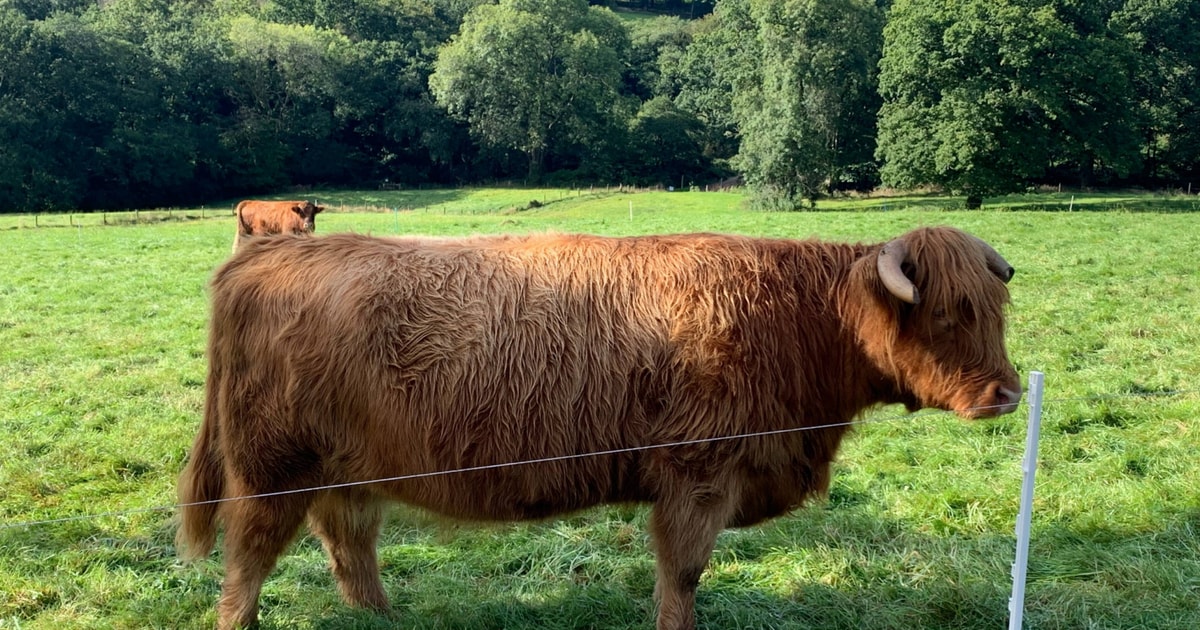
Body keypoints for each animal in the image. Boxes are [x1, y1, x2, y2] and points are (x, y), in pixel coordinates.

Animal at [178, 226, 1022, 630]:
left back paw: (383, 621)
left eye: (995, 310)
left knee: (348, 541)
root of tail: (264, 255)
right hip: (273, 468)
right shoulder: (698, 476)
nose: (1008, 395)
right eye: (948, 316)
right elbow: (683, 573)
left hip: (348, 467)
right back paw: (242, 623)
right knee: (250, 555)